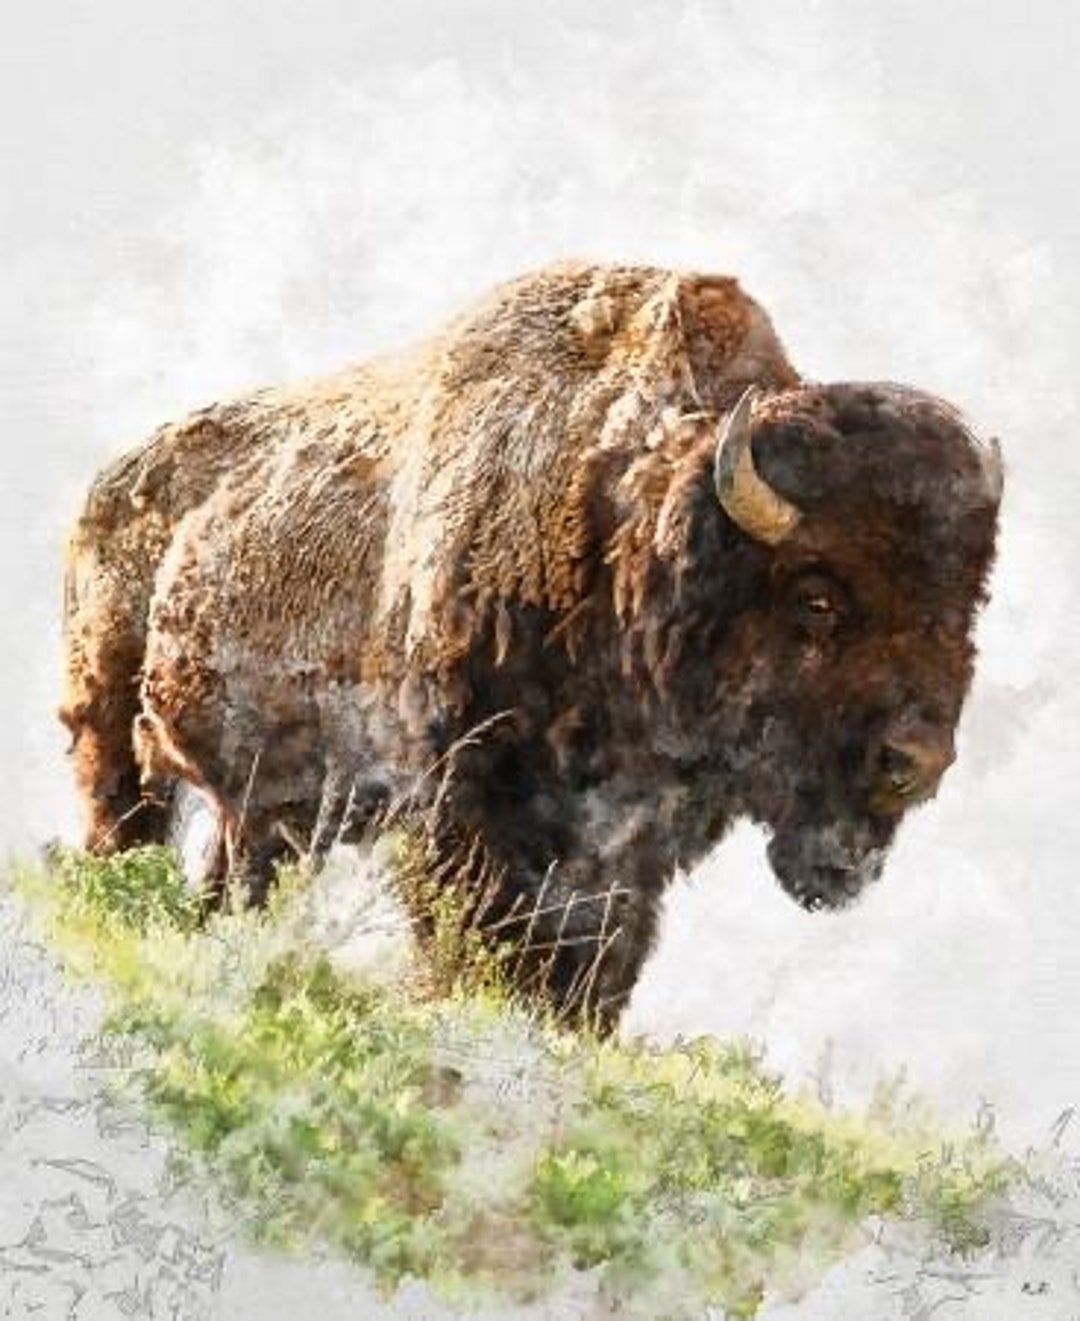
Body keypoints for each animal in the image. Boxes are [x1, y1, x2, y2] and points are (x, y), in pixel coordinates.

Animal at [61, 262, 1002, 1026]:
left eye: (966, 610)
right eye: (816, 598)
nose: (915, 760)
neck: (623, 533)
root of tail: (111, 481)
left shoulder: (632, 853)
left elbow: (598, 960)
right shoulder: (465, 805)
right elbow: (481, 933)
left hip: (270, 811)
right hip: (113, 730)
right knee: (128, 821)